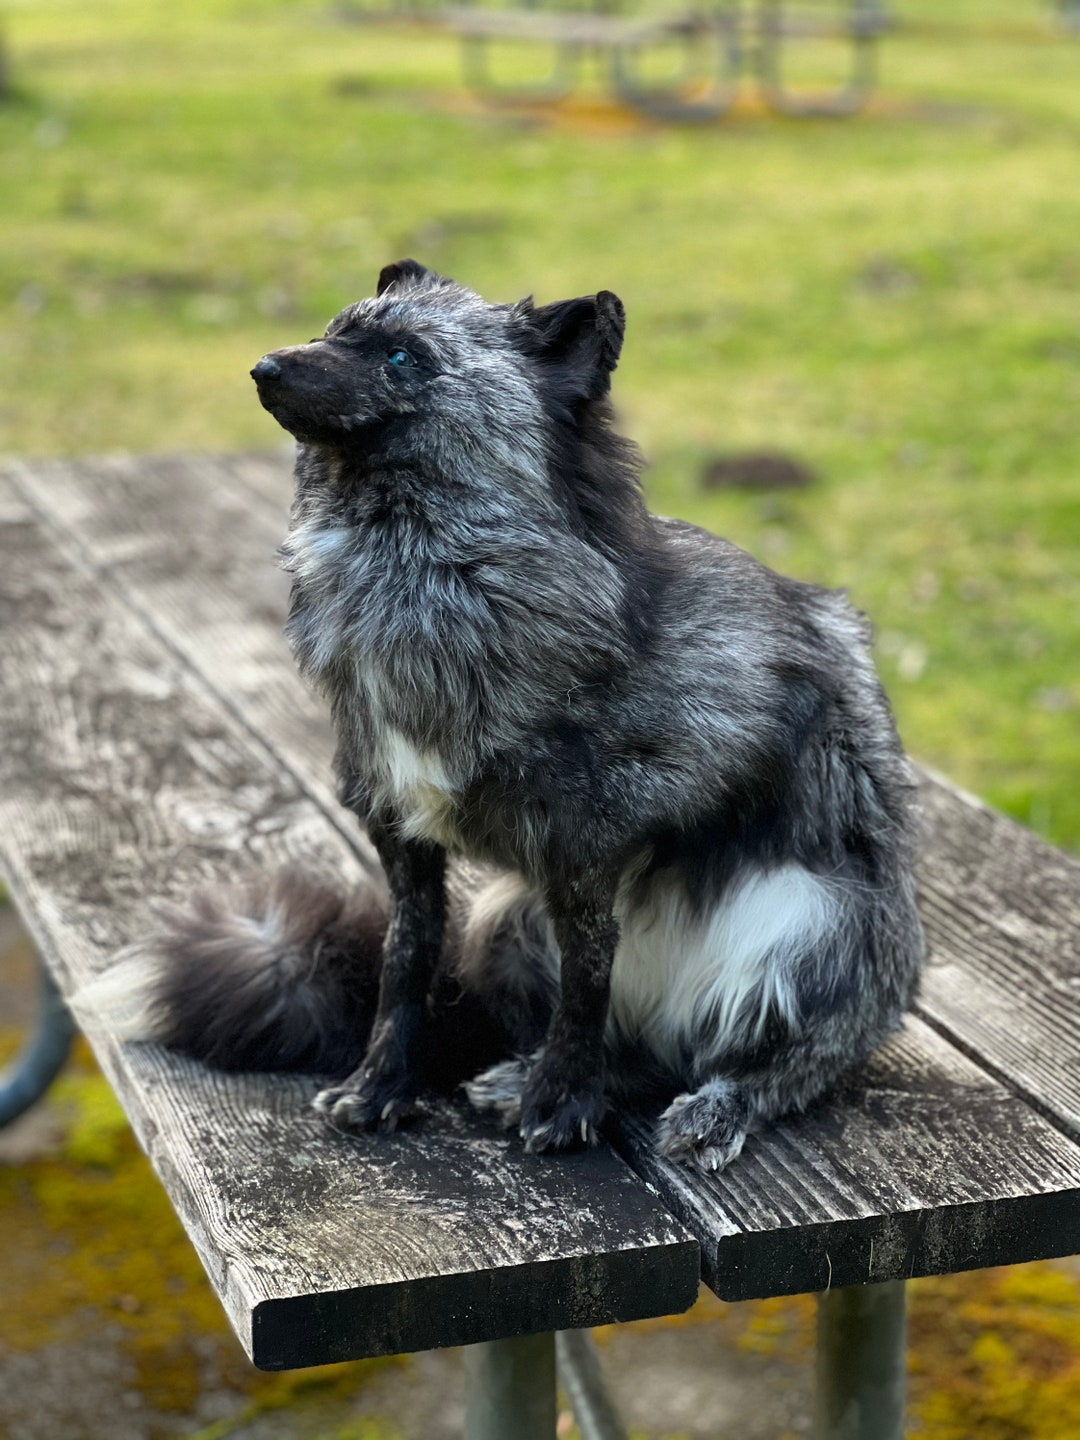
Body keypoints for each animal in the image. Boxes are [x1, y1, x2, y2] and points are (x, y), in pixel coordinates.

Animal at [102, 259, 925, 1172]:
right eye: (334, 329)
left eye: (402, 356)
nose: (265, 368)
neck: (424, 582)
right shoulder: (400, 830)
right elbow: (405, 972)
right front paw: (381, 1090)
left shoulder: (587, 844)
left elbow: (586, 986)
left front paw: (560, 1109)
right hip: (505, 920)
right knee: (633, 1052)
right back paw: (533, 1075)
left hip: (809, 931)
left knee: (775, 1066)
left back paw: (711, 1108)